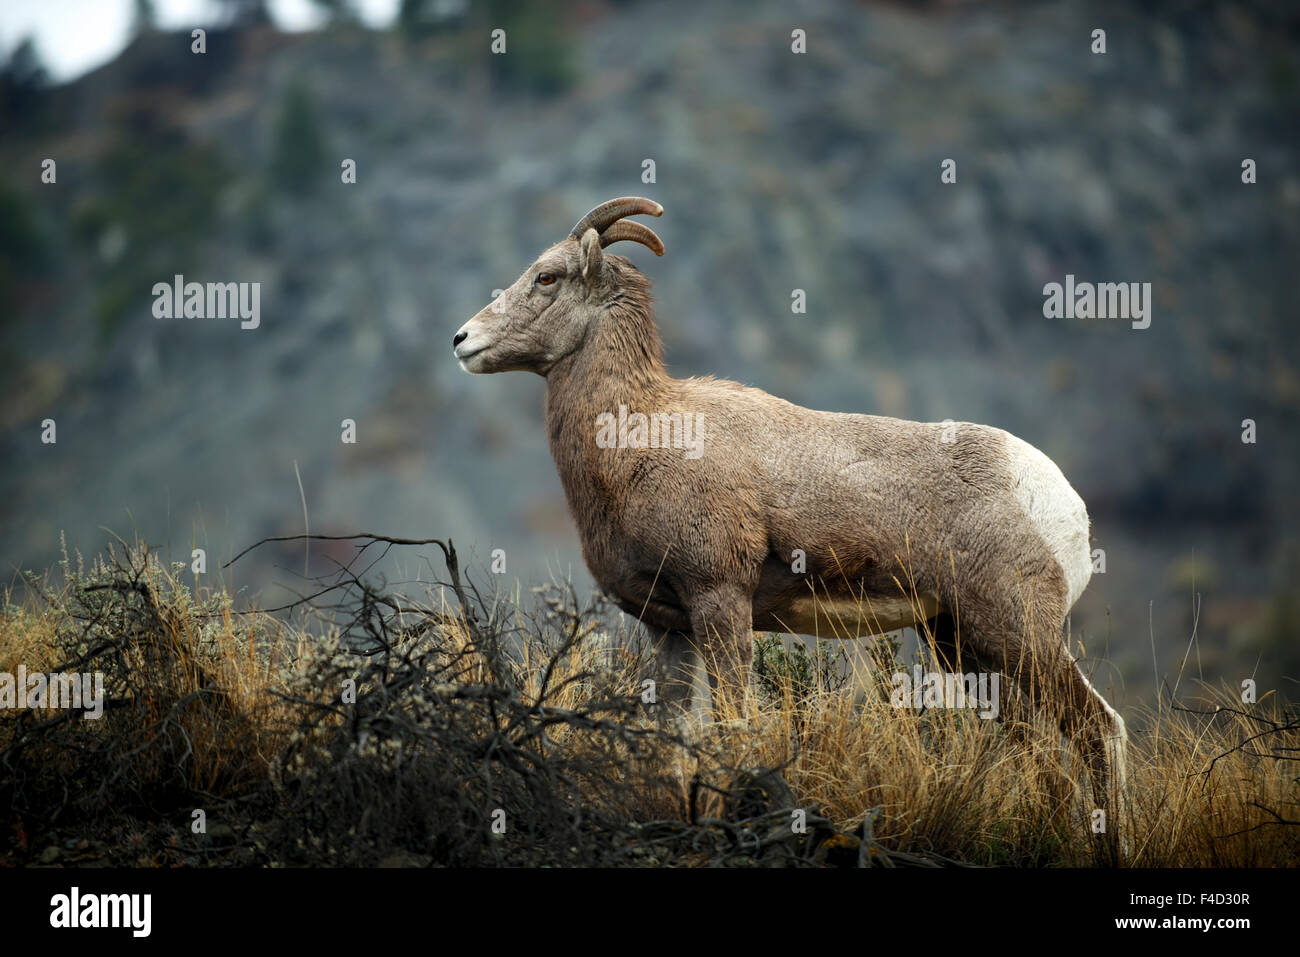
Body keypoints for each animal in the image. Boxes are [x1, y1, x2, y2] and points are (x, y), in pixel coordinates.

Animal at [451, 196, 1128, 821]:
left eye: (546, 277)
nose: (462, 341)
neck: (643, 436)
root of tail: (1064, 506)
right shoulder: (670, 628)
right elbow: (669, 743)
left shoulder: (720, 601)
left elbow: (732, 728)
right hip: (963, 646)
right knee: (1044, 757)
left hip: (1020, 635)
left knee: (1102, 731)